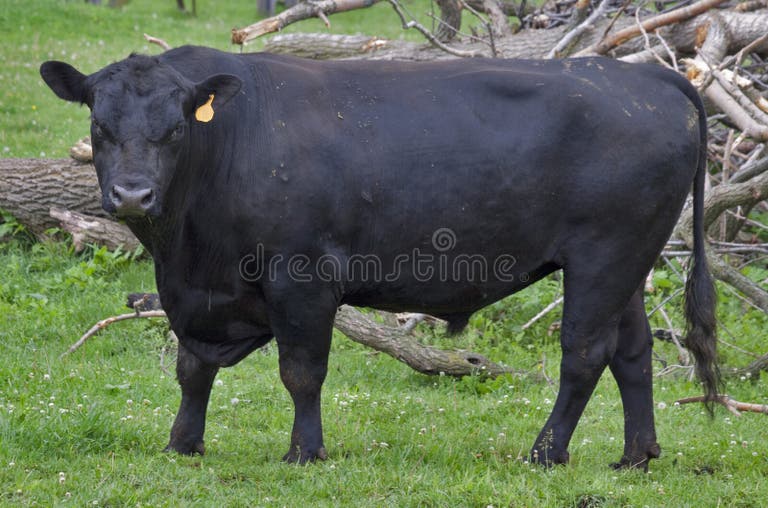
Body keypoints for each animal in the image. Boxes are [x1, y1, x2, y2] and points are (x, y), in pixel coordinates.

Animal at [40, 45, 718, 470]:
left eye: (177, 129)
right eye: (99, 127)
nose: (132, 194)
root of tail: (644, 77)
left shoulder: (302, 276)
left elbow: (301, 371)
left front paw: (304, 452)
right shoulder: (198, 294)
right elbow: (192, 369)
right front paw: (182, 445)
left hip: (603, 257)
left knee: (584, 354)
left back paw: (545, 453)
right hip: (628, 262)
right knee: (632, 352)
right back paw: (635, 456)